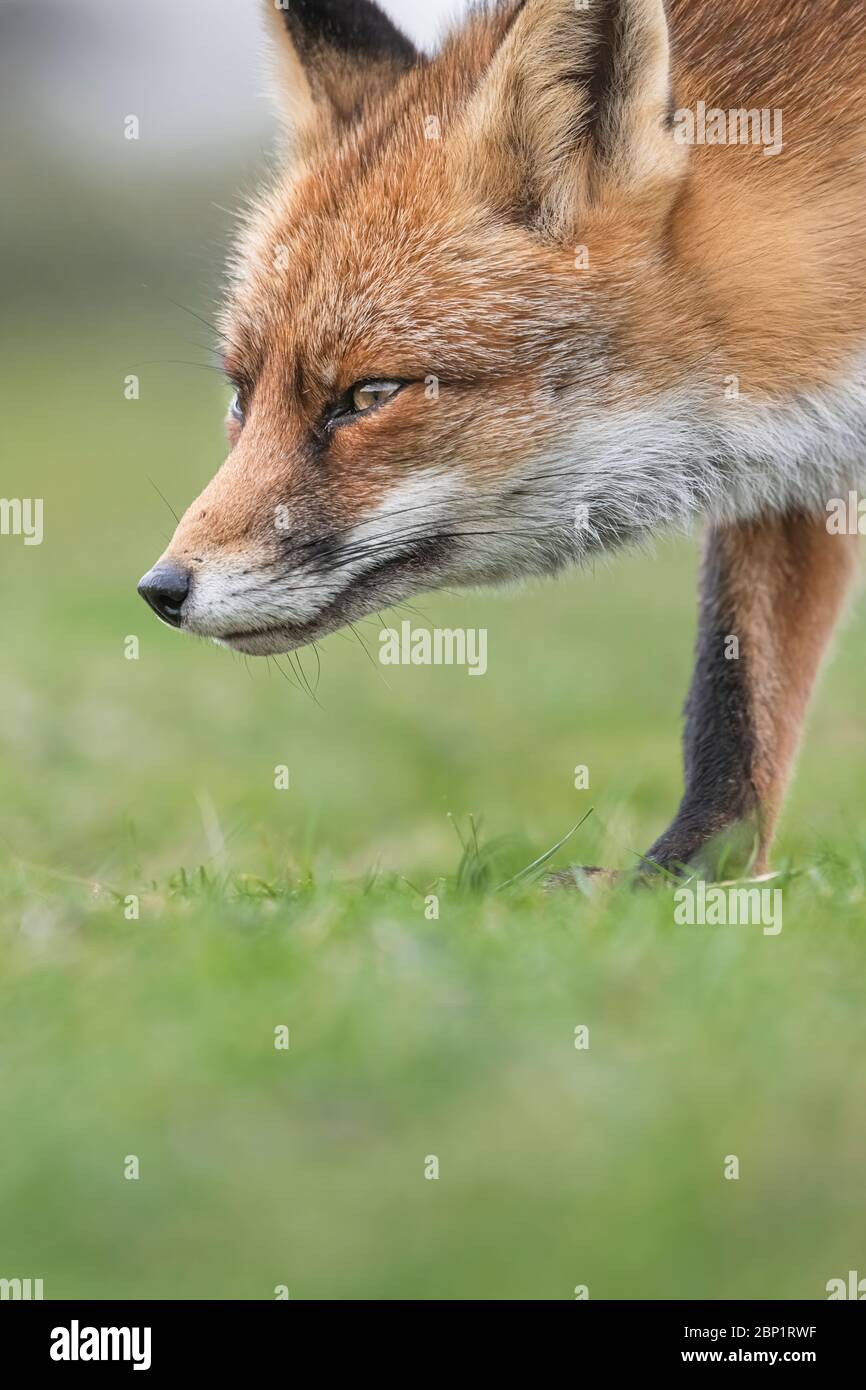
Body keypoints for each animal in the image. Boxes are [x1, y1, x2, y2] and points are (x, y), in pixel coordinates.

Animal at [138, 0, 866, 880]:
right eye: (242, 395)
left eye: (369, 395)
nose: (162, 589)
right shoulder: (797, 466)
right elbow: (735, 702)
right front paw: (683, 876)